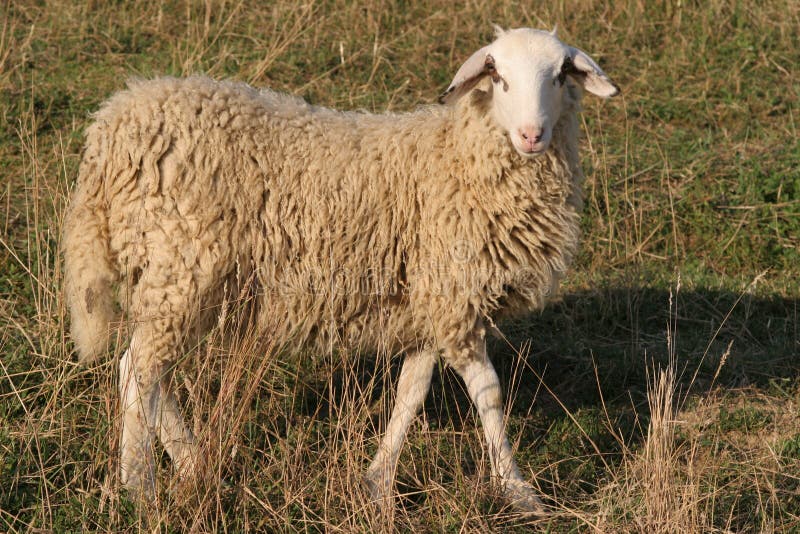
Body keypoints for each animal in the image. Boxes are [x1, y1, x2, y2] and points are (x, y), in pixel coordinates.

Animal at [63, 26, 619, 513]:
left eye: (560, 76)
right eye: (497, 76)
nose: (532, 134)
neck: (460, 156)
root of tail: (112, 127)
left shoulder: (426, 302)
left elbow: (411, 392)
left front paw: (377, 482)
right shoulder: (453, 295)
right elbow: (488, 392)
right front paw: (520, 491)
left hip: (174, 277)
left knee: (147, 374)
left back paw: (195, 467)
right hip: (181, 267)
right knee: (138, 371)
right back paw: (140, 487)